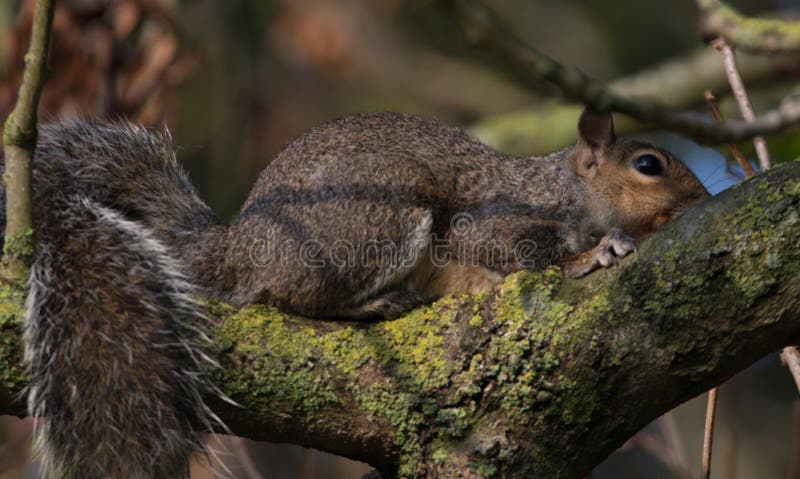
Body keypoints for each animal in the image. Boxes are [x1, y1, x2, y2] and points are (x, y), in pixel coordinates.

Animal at [2, 108, 709, 478]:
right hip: (379, 217)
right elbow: (508, 250)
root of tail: (239, 245)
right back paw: (373, 303)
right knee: (292, 297)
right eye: (648, 165)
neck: (567, 189)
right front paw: (594, 253)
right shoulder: (492, 221)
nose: (703, 200)